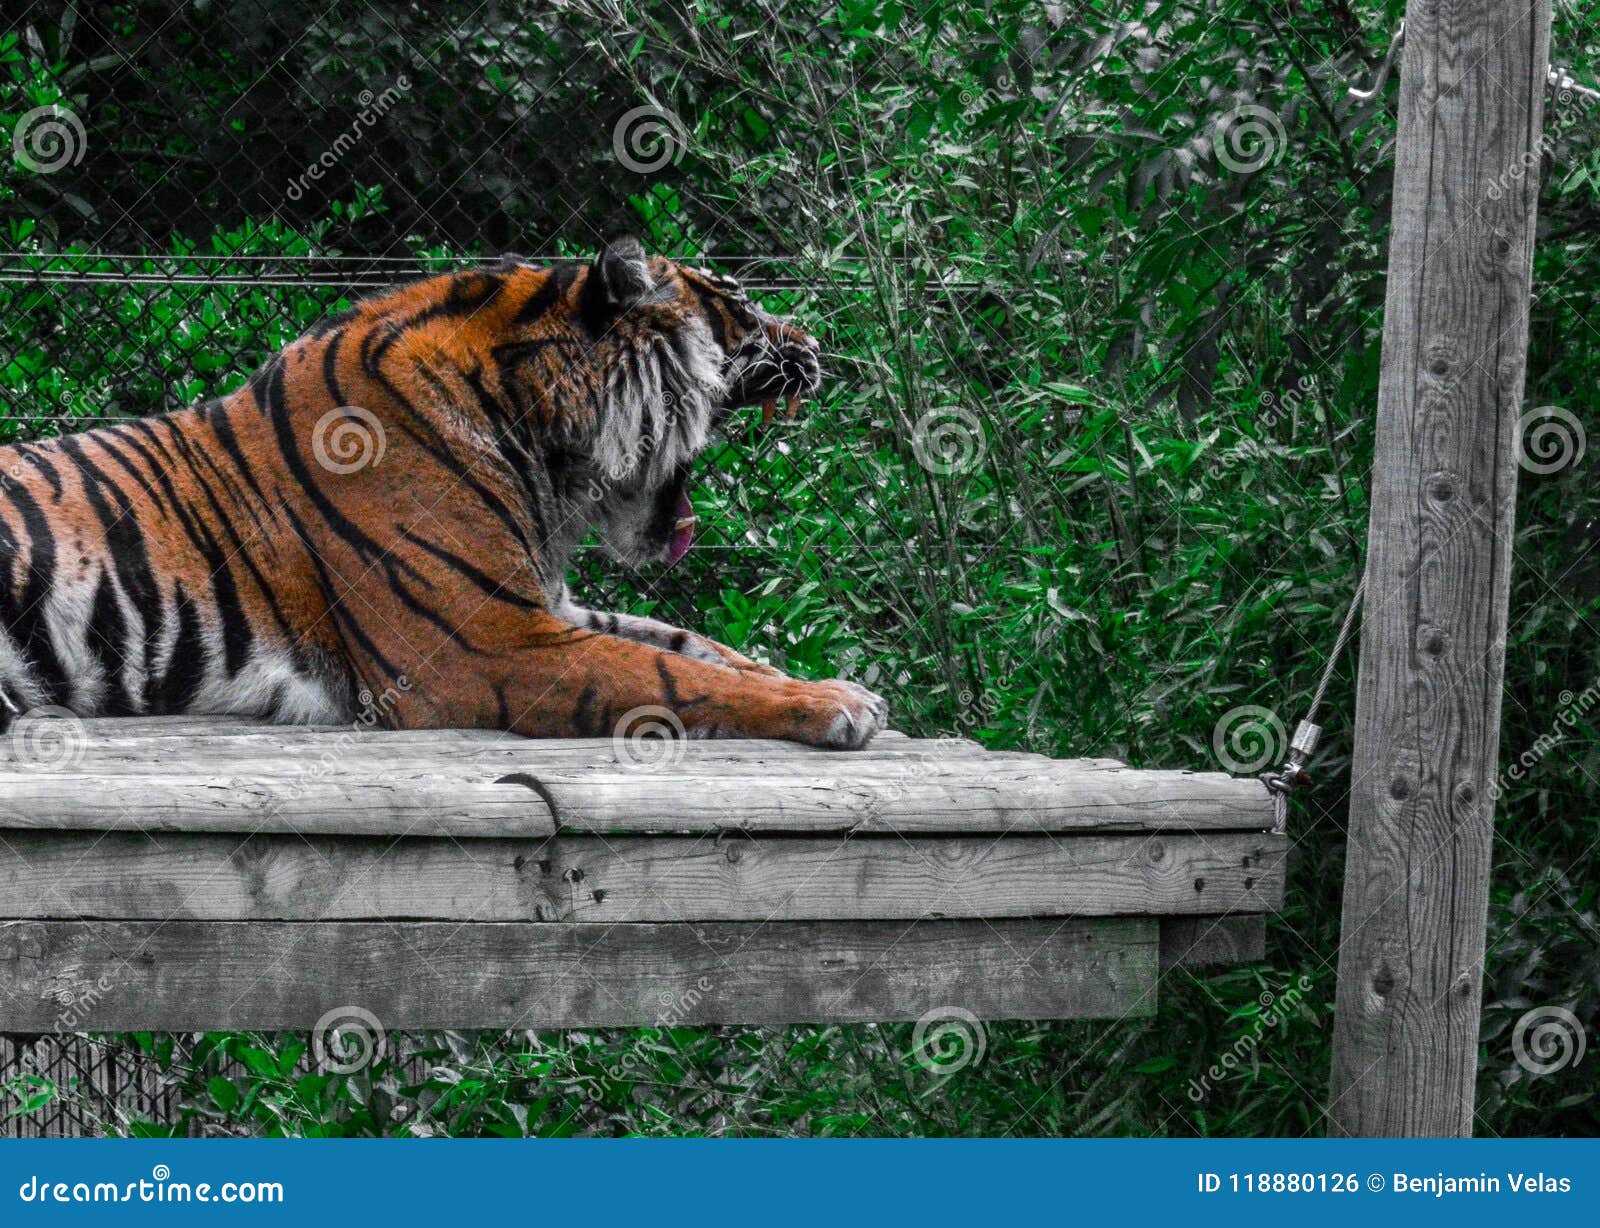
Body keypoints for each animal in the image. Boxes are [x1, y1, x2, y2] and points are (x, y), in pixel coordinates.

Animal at [0, 237, 888, 748]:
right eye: (739, 305)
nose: (818, 344)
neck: (539, 436)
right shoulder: (485, 643)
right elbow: (670, 673)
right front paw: (834, 707)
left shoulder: (540, 604)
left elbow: (695, 644)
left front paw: (833, 687)